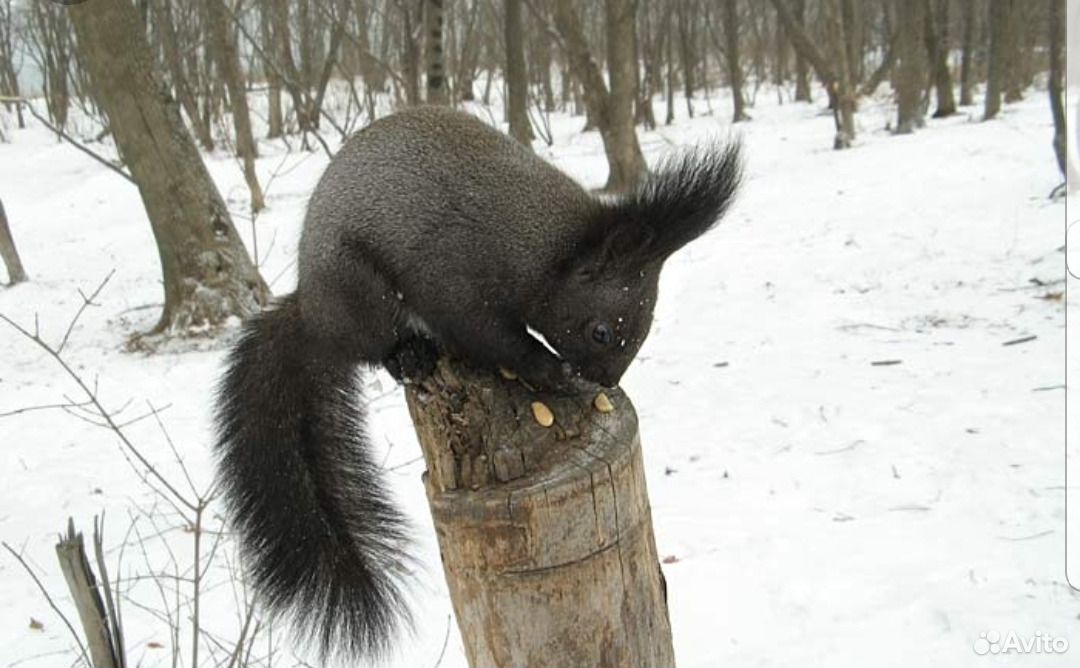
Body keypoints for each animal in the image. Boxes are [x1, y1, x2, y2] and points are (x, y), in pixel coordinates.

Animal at [214, 106, 741, 662]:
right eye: (601, 331)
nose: (606, 380)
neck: (545, 248)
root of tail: (312, 314)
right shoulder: (458, 284)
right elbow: (490, 337)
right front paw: (550, 372)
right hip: (361, 293)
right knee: (380, 347)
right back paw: (411, 354)